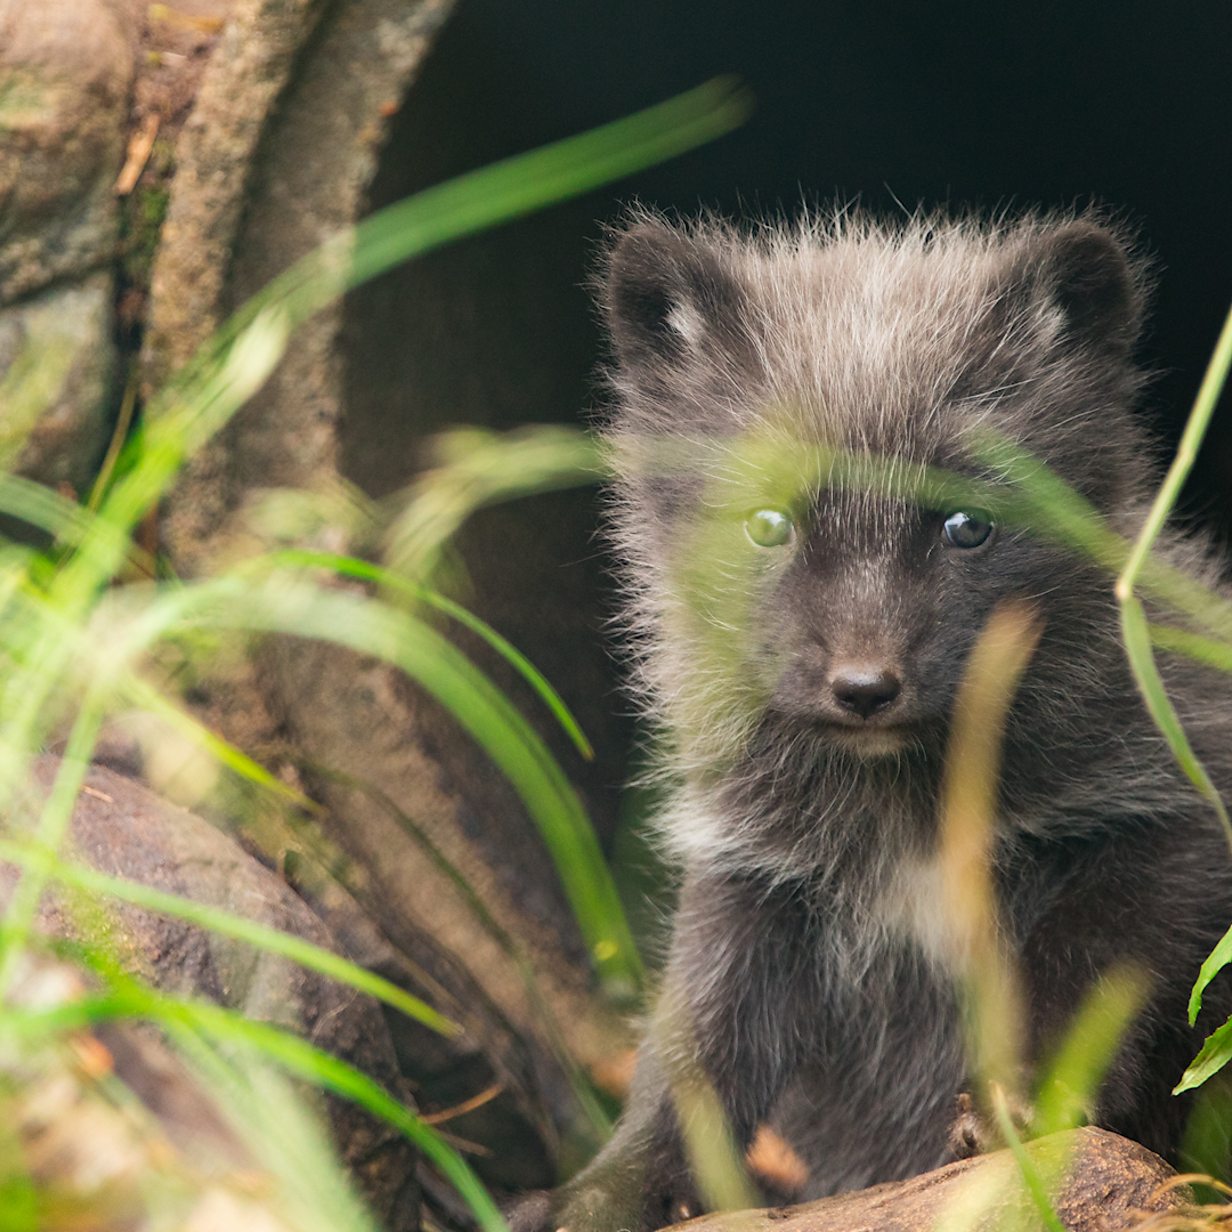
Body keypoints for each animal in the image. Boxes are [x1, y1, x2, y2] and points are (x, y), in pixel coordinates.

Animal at [513, 210, 1232, 1231]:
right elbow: (690, 1054)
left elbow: (1084, 976)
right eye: (765, 522)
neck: (907, 820)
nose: (864, 686)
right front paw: (600, 1194)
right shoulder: (749, 872)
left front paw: (1022, 1106)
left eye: (967, 524)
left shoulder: (1172, 820)